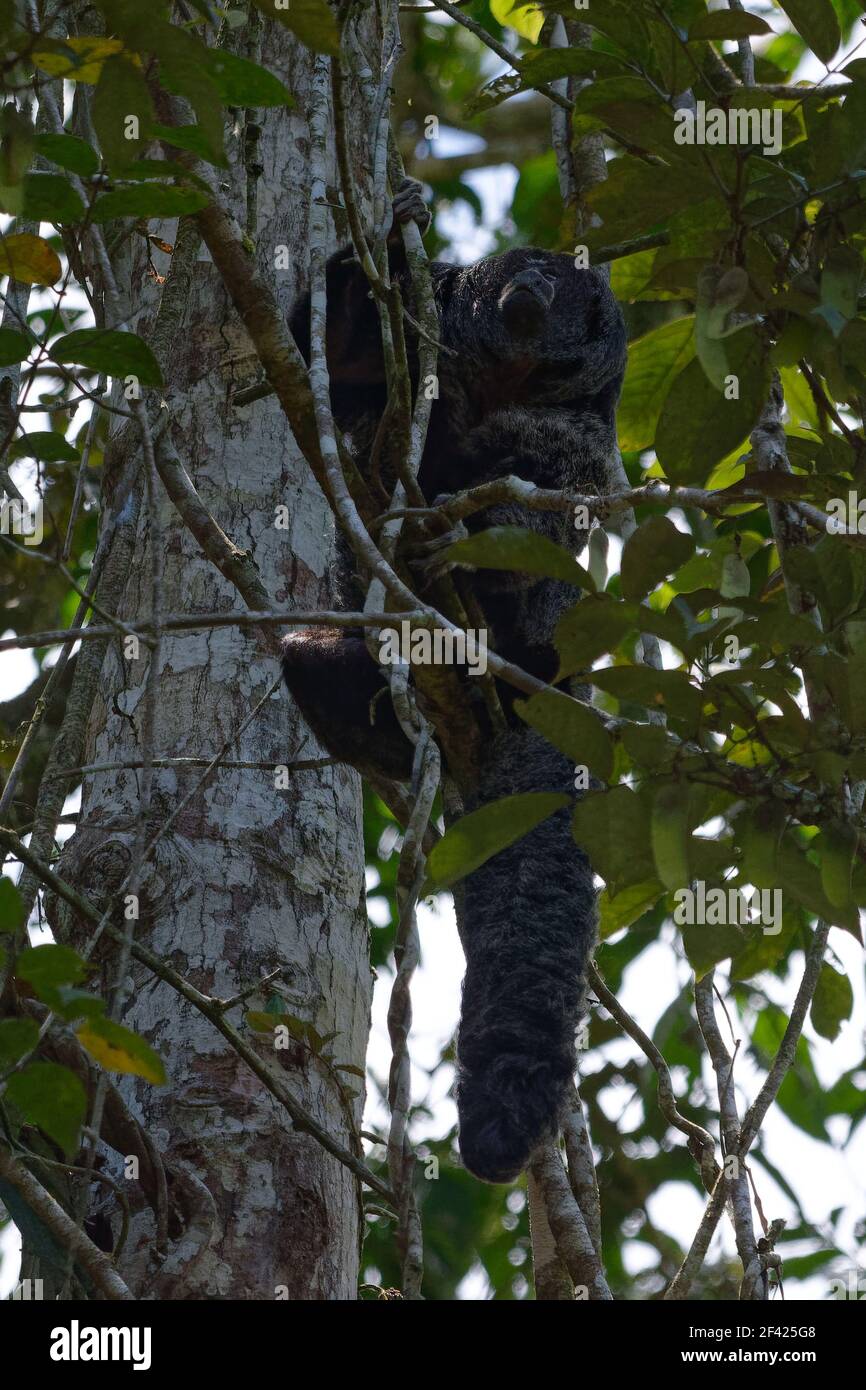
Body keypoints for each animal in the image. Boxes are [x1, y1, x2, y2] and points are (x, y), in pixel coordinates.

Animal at [282, 179, 627, 1183]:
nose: (530, 292)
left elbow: (553, 492)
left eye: (567, 291)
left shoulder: (583, 426)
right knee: (305, 651)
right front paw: (389, 240)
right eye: (525, 270)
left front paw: (471, 517)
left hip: (548, 656)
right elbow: (330, 351)